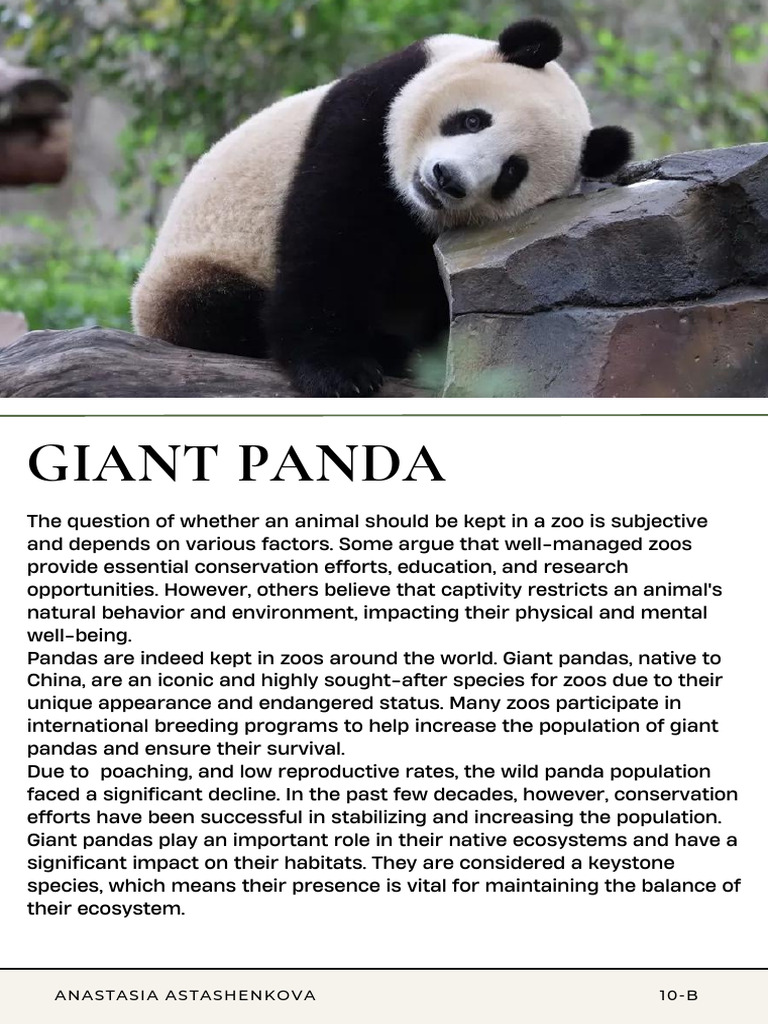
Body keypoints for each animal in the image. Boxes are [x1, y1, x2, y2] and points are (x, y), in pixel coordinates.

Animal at [132, 19, 632, 397]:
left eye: (512, 172)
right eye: (473, 120)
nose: (447, 179)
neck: (410, 204)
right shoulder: (368, 116)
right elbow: (330, 242)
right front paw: (340, 372)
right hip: (194, 266)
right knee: (216, 311)